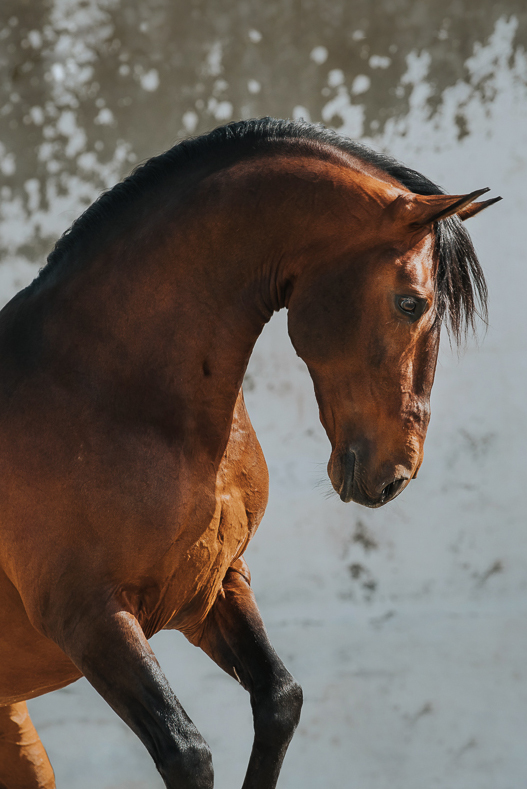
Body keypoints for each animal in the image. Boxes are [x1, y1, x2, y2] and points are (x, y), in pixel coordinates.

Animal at [0, 118, 498, 789]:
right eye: (411, 302)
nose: (396, 474)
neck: (106, 388)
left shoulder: (216, 585)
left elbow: (280, 700)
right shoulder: (90, 618)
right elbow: (186, 750)